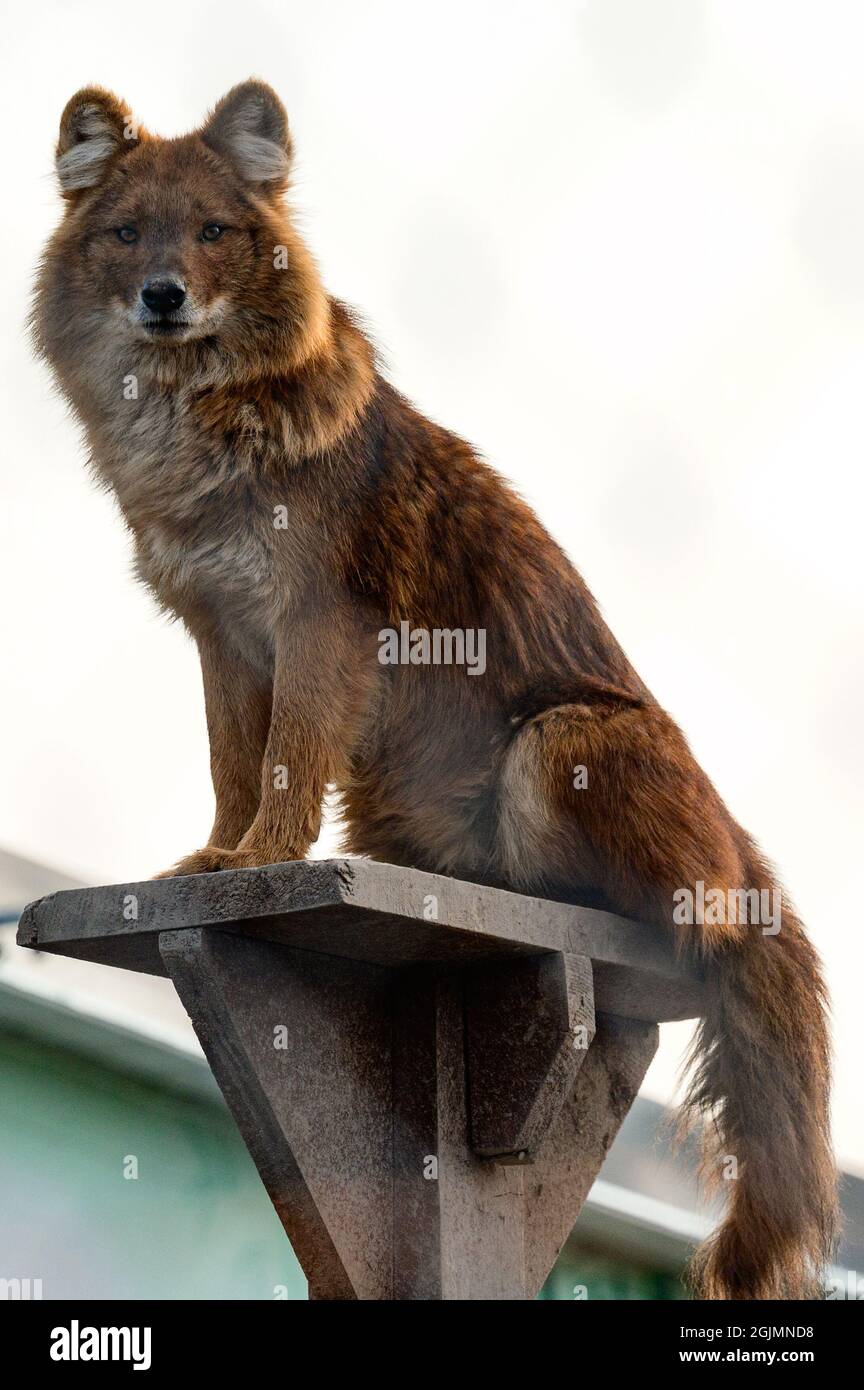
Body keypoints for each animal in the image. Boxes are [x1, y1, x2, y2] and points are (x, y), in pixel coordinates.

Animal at [33, 80, 836, 1299]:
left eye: (213, 232)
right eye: (128, 235)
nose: (162, 296)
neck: (193, 423)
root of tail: (748, 857)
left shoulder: (323, 623)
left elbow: (286, 761)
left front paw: (264, 860)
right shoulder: (223, 633)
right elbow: (232, 764)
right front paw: (215, 861)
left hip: (557, 740)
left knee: (670, 923)